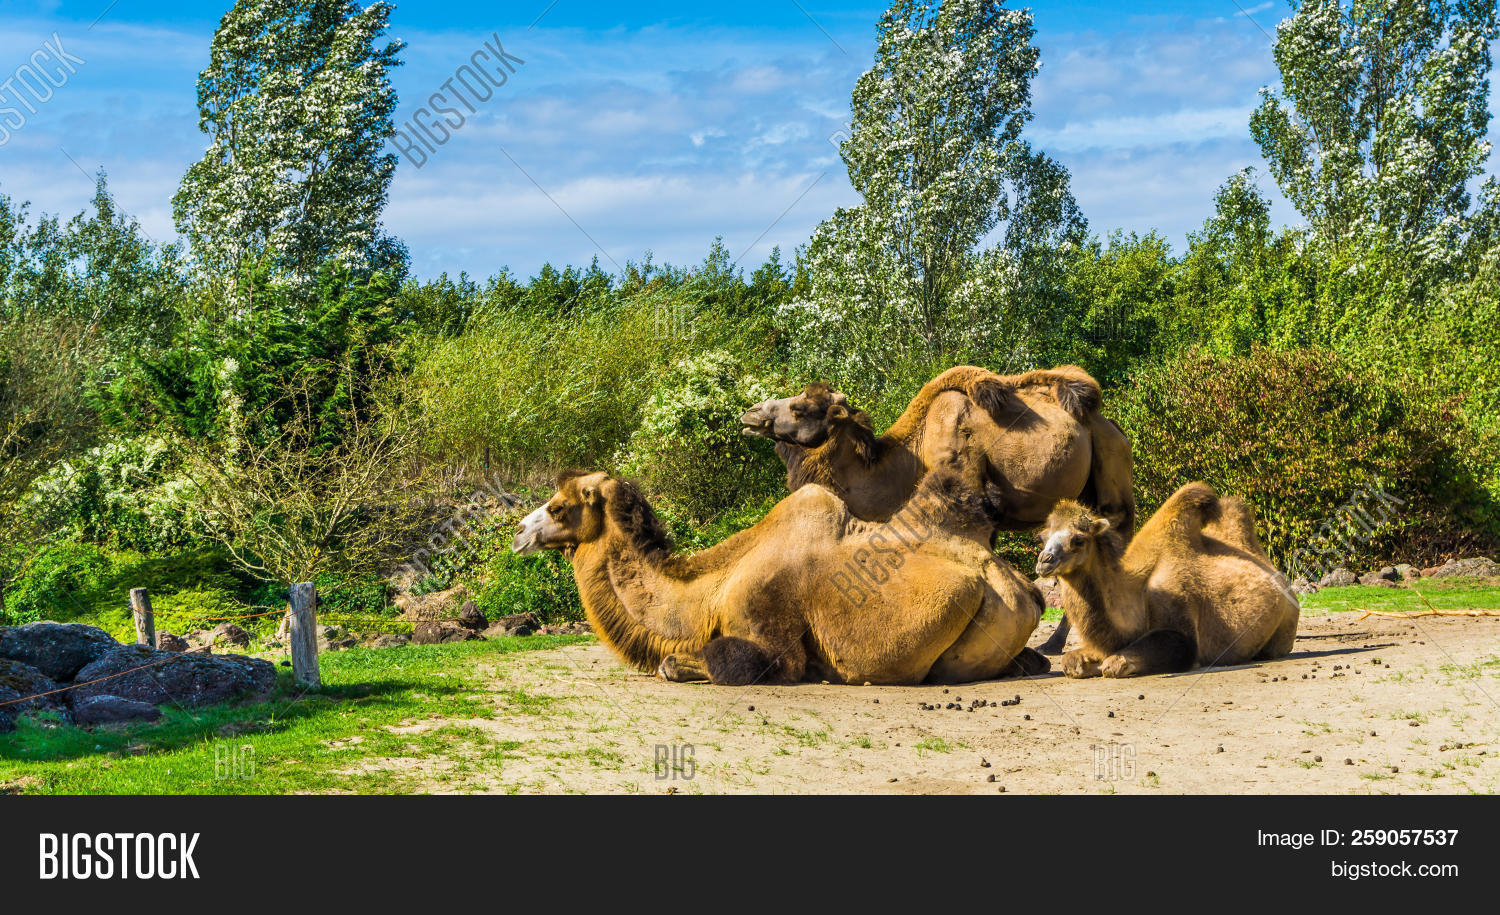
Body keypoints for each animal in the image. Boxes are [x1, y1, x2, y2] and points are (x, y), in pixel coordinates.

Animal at [511, 462, 1049, 686]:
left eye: (557, 508)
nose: (518, 534)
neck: (710, 594)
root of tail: (1022, 589)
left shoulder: (770, 634)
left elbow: (716, 663)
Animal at [739, 365, 1135, 653]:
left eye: (800, 409)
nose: (751, 413)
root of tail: (1114, 427)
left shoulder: (973, 495)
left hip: (1111, 464)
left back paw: (1064, 644)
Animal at [1033, 482, 1300, 678]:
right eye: (1042, 537)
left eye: (1078, 539)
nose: (1044, 561)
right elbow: (1070, 662)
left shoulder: (1181, 626)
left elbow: (1115, 664)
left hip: (1284, 628)